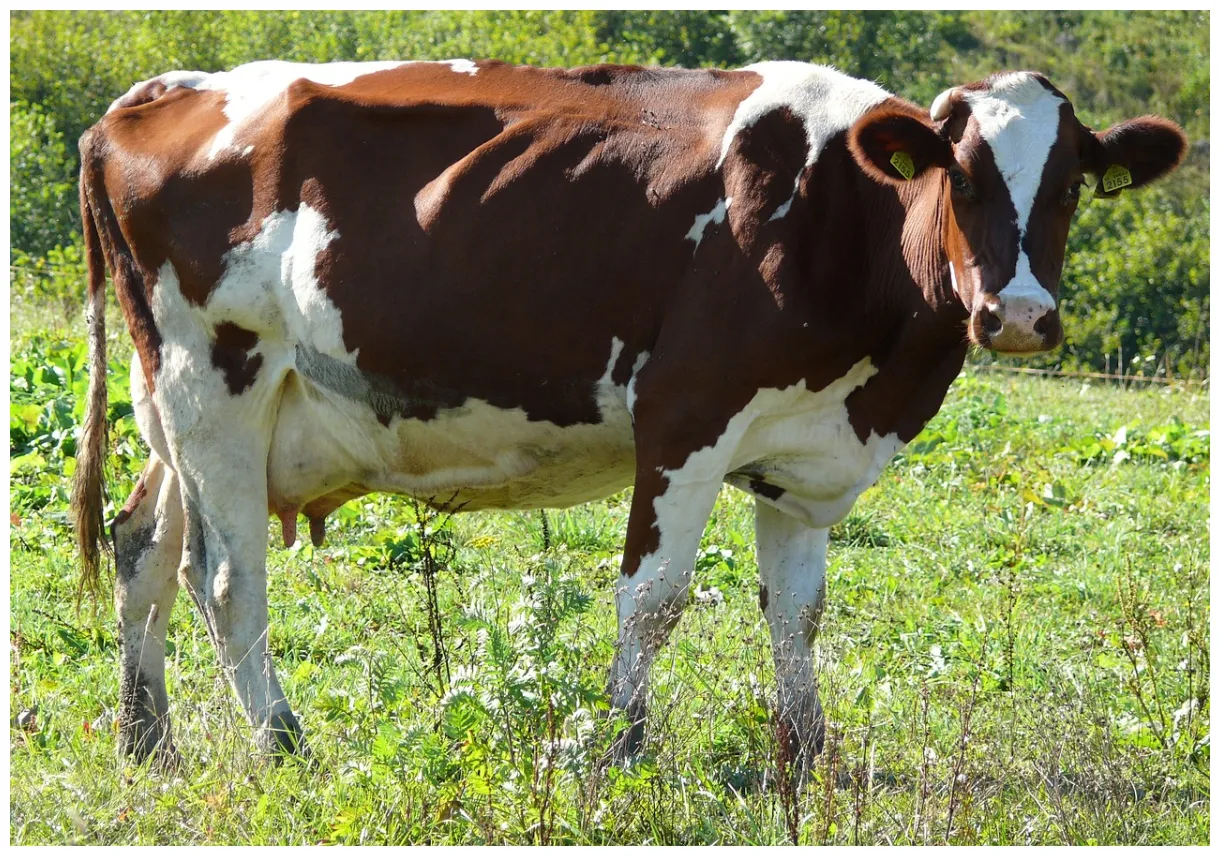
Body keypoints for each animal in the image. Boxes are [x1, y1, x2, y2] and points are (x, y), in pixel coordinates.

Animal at [73, 59, 1186, 775]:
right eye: (958, 171)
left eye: (1072, 185)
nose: (1021, 315)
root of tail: (148, 97)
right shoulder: (686, 415)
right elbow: (652, 600)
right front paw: (618, 751)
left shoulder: (804, 453)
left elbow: (798, 610)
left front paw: (806, 758)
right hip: (215, 378)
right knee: (225, 576)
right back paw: (279, 744)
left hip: (179, 402)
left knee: (141, 545)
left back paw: (147, 741)